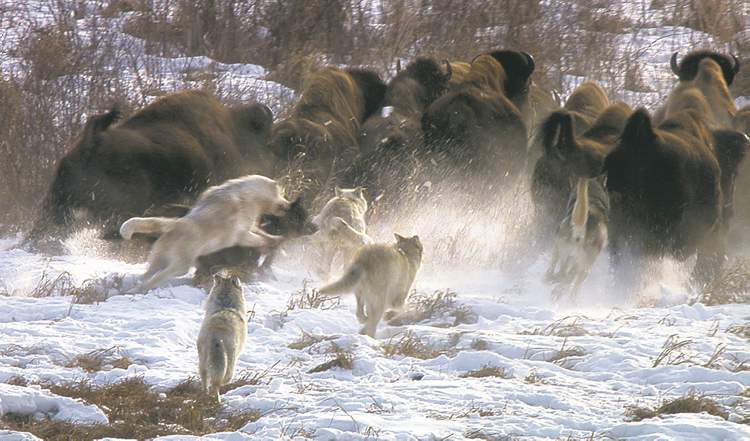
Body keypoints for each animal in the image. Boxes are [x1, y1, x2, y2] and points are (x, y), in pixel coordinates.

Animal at [120, 175, 289, 292]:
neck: (248, 196)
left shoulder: (251, 228)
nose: (288, 205)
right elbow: (260, 240)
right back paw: (136, 290)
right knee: (153, 279)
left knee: (147, 274)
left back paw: (131, 285)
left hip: (158, 260)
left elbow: (264, 235)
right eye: (282, 193)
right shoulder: (241, 235)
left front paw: (277, 240)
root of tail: (175, 224)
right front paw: (270, 244)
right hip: (179, 267)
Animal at [197, 274, 247, 402]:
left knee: (205, 379)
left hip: (202, 360)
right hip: (230, 360)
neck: (225, 305)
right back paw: (217, 399)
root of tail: (216, 336)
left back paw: (205, 394)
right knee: (220, 381)